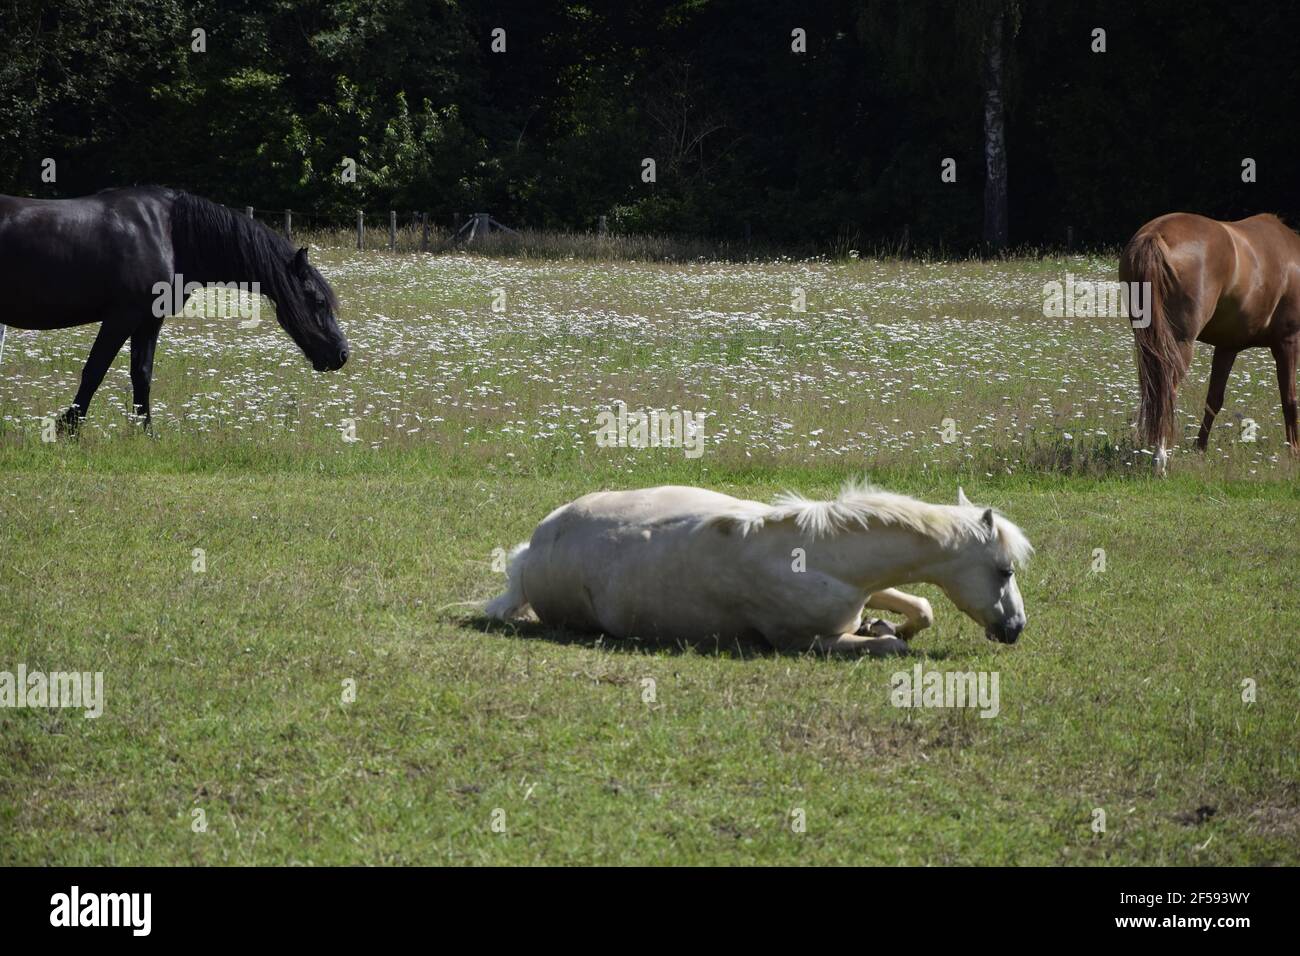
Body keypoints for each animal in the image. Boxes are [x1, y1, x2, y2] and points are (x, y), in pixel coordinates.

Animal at [0, 186, 349, 431]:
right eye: (319, 302)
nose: (342, 354)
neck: (168, 233)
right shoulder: (121, 318)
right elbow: (94, 372)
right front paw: (67, 429)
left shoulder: (148, 320)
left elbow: (141, 375)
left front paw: (146, 434)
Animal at [485, 483, 1032, 656]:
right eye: (1004, 571)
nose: (1016, 628)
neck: (817, 556)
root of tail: (533, 549)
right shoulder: (804, 642)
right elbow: (891, 644)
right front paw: (884, 631)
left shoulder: (865, 589)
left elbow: (919, 606)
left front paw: (886, 621)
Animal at [1120, 212, 1300, 474]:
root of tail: (1154, 234)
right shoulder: (1288, 342)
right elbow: (1289, 399)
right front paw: (1294, 452)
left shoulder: (1228, 347)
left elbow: (1214, 399)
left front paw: (1200, 448)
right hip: (1180, 344)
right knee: (1167, 392)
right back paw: (1160, 460)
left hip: (1147, 343)